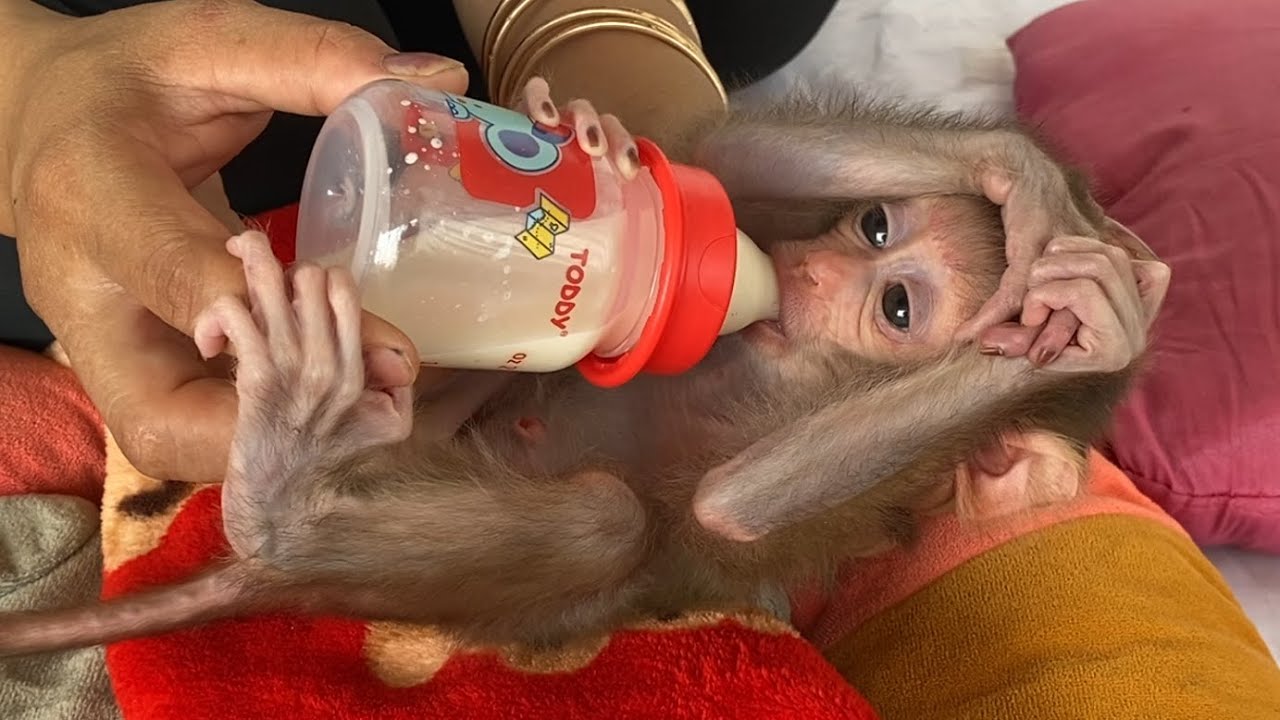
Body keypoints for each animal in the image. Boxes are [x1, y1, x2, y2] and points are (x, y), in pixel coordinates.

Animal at [0, 85, 1170, 658]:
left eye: (895, 307)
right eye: (874, 225)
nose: (808, 269)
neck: (792, 352)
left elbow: (732, 506)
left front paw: (1097, 327)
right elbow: (729, 155)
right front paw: (1032, 184)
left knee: (605, 521)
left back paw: (275, 483)